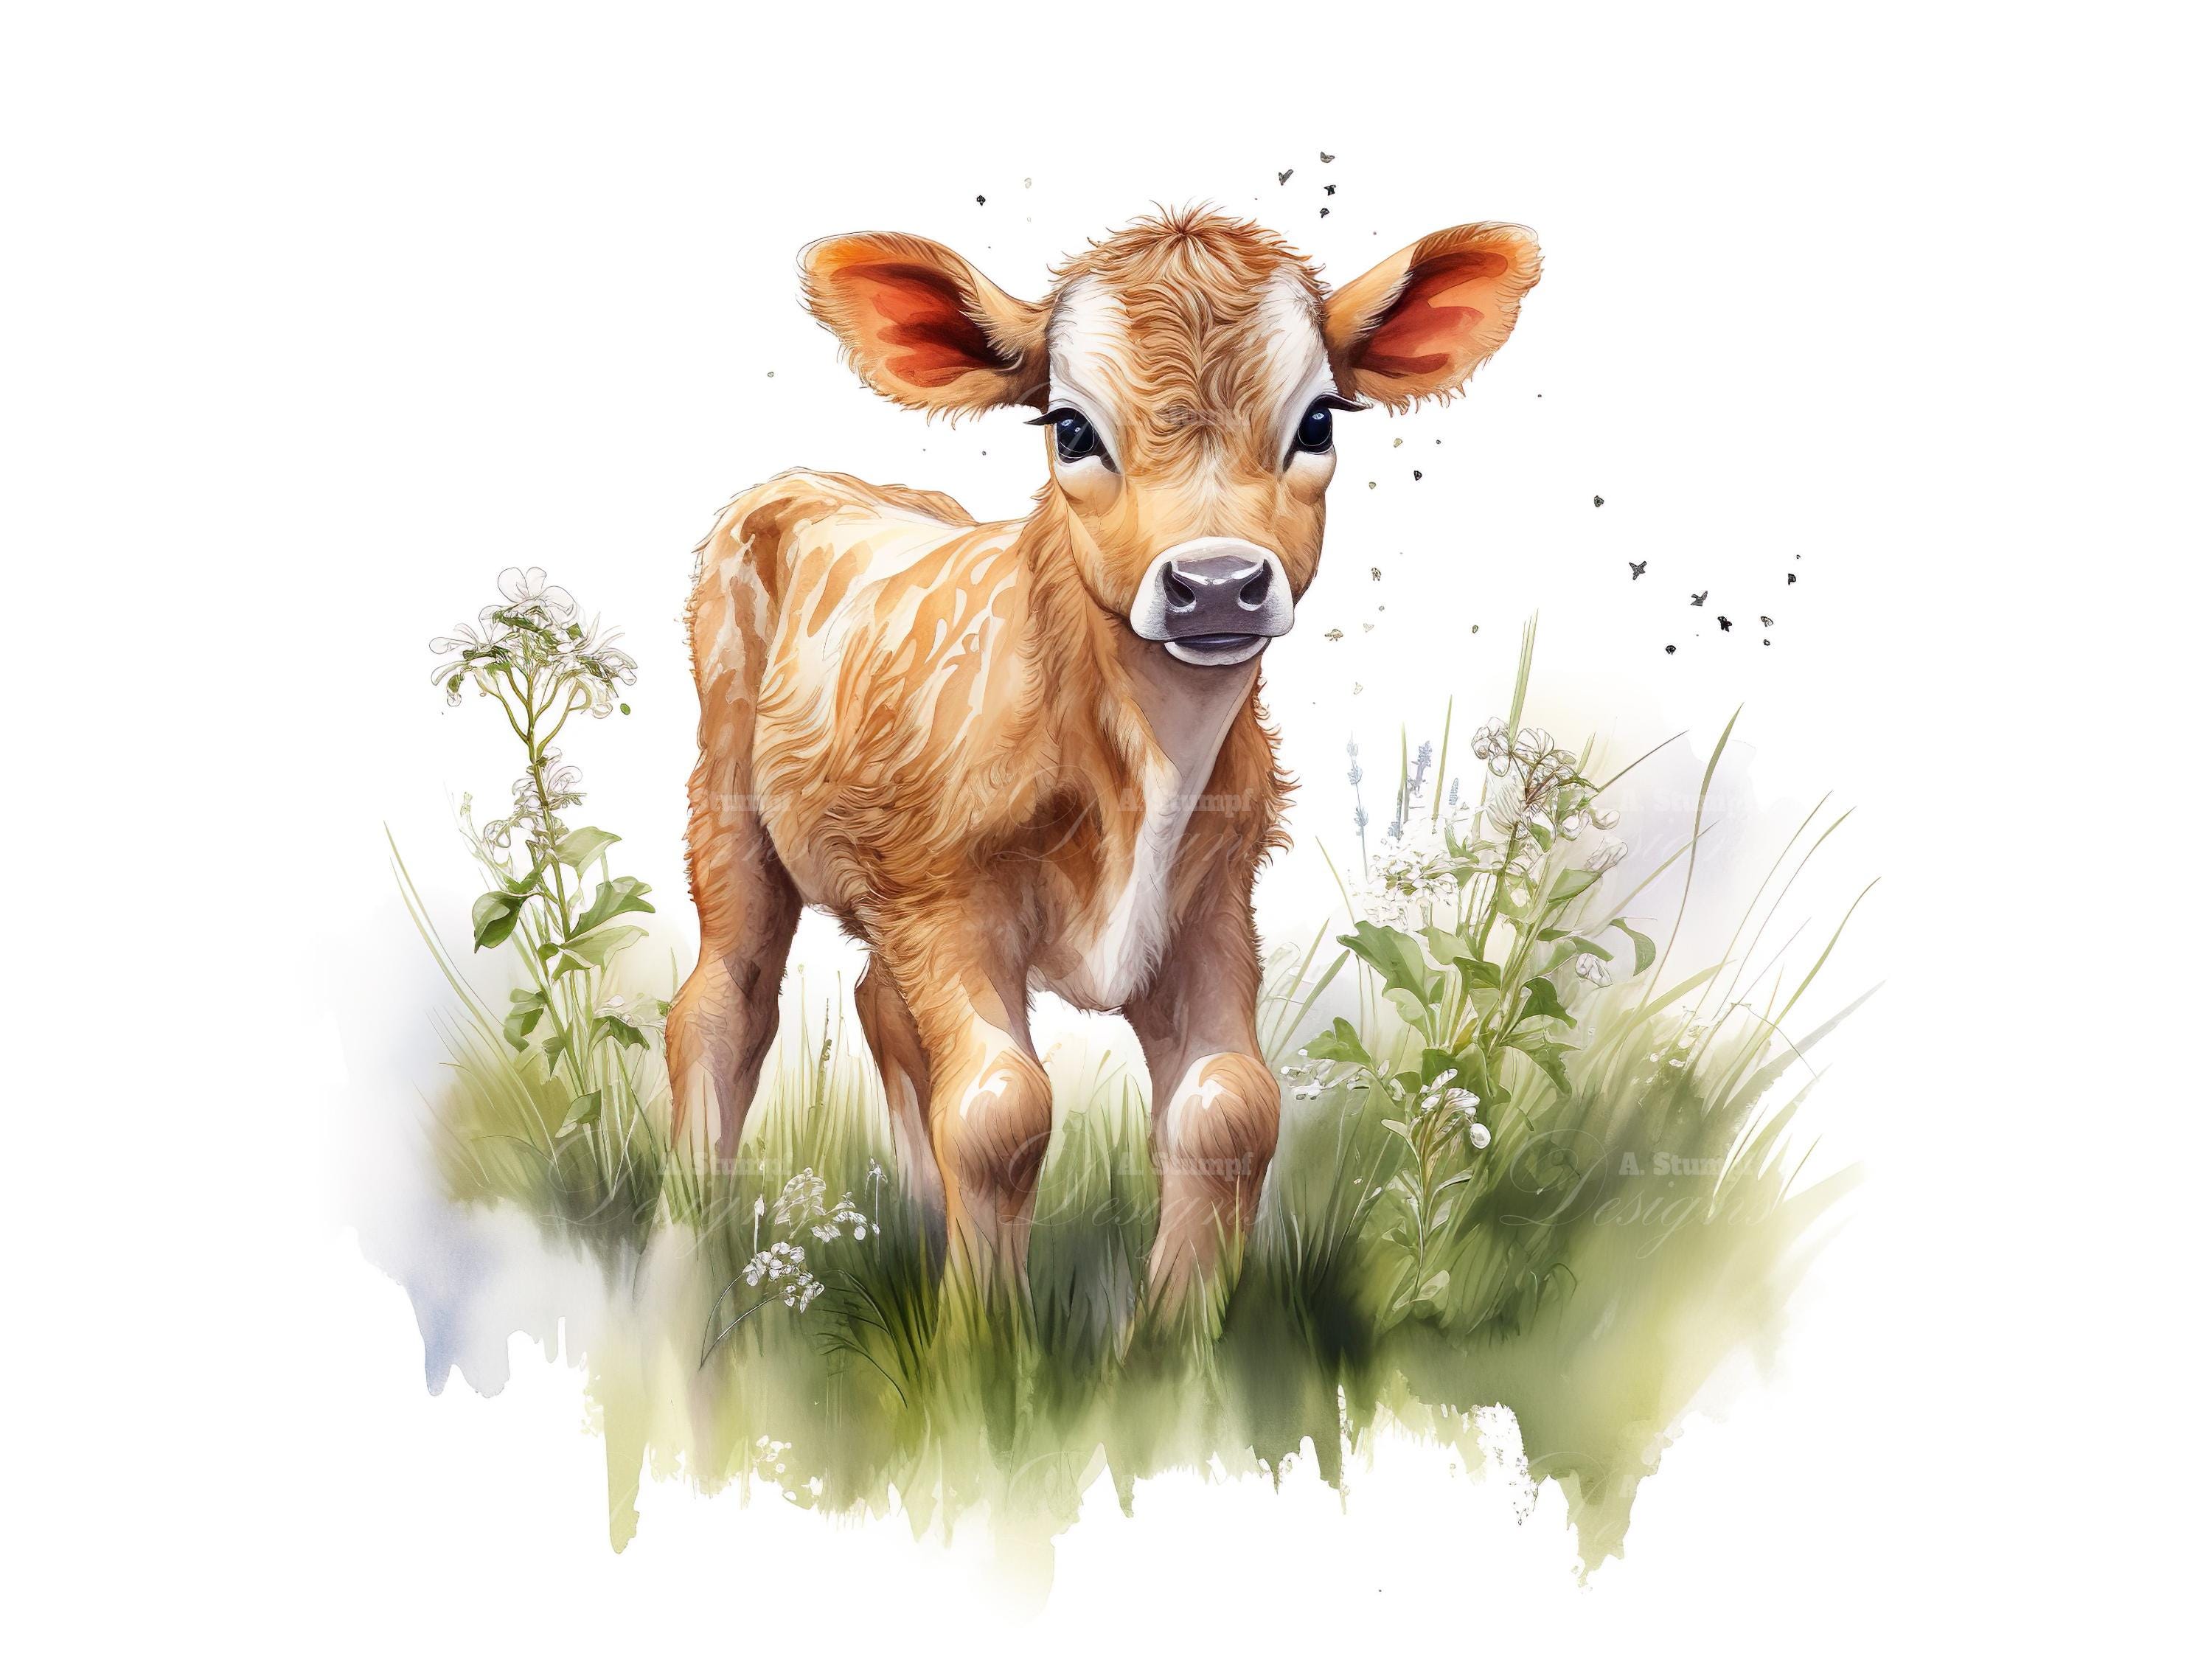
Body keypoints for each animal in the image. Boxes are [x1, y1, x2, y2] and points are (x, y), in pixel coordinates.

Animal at [668, 207, 1539, 1305]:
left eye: (1318, 422)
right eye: (1072, 429)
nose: (1217, 584)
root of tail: (817, 480)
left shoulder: (1212, 901)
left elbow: (1230, 1104)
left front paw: (1173, 1330)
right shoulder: (943, 898)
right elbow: (1000, 1109)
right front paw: (983, 1334)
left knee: (879, 1006)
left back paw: (917, 1218)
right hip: (729, 804)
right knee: (723, 1003)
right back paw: (684, 1256)